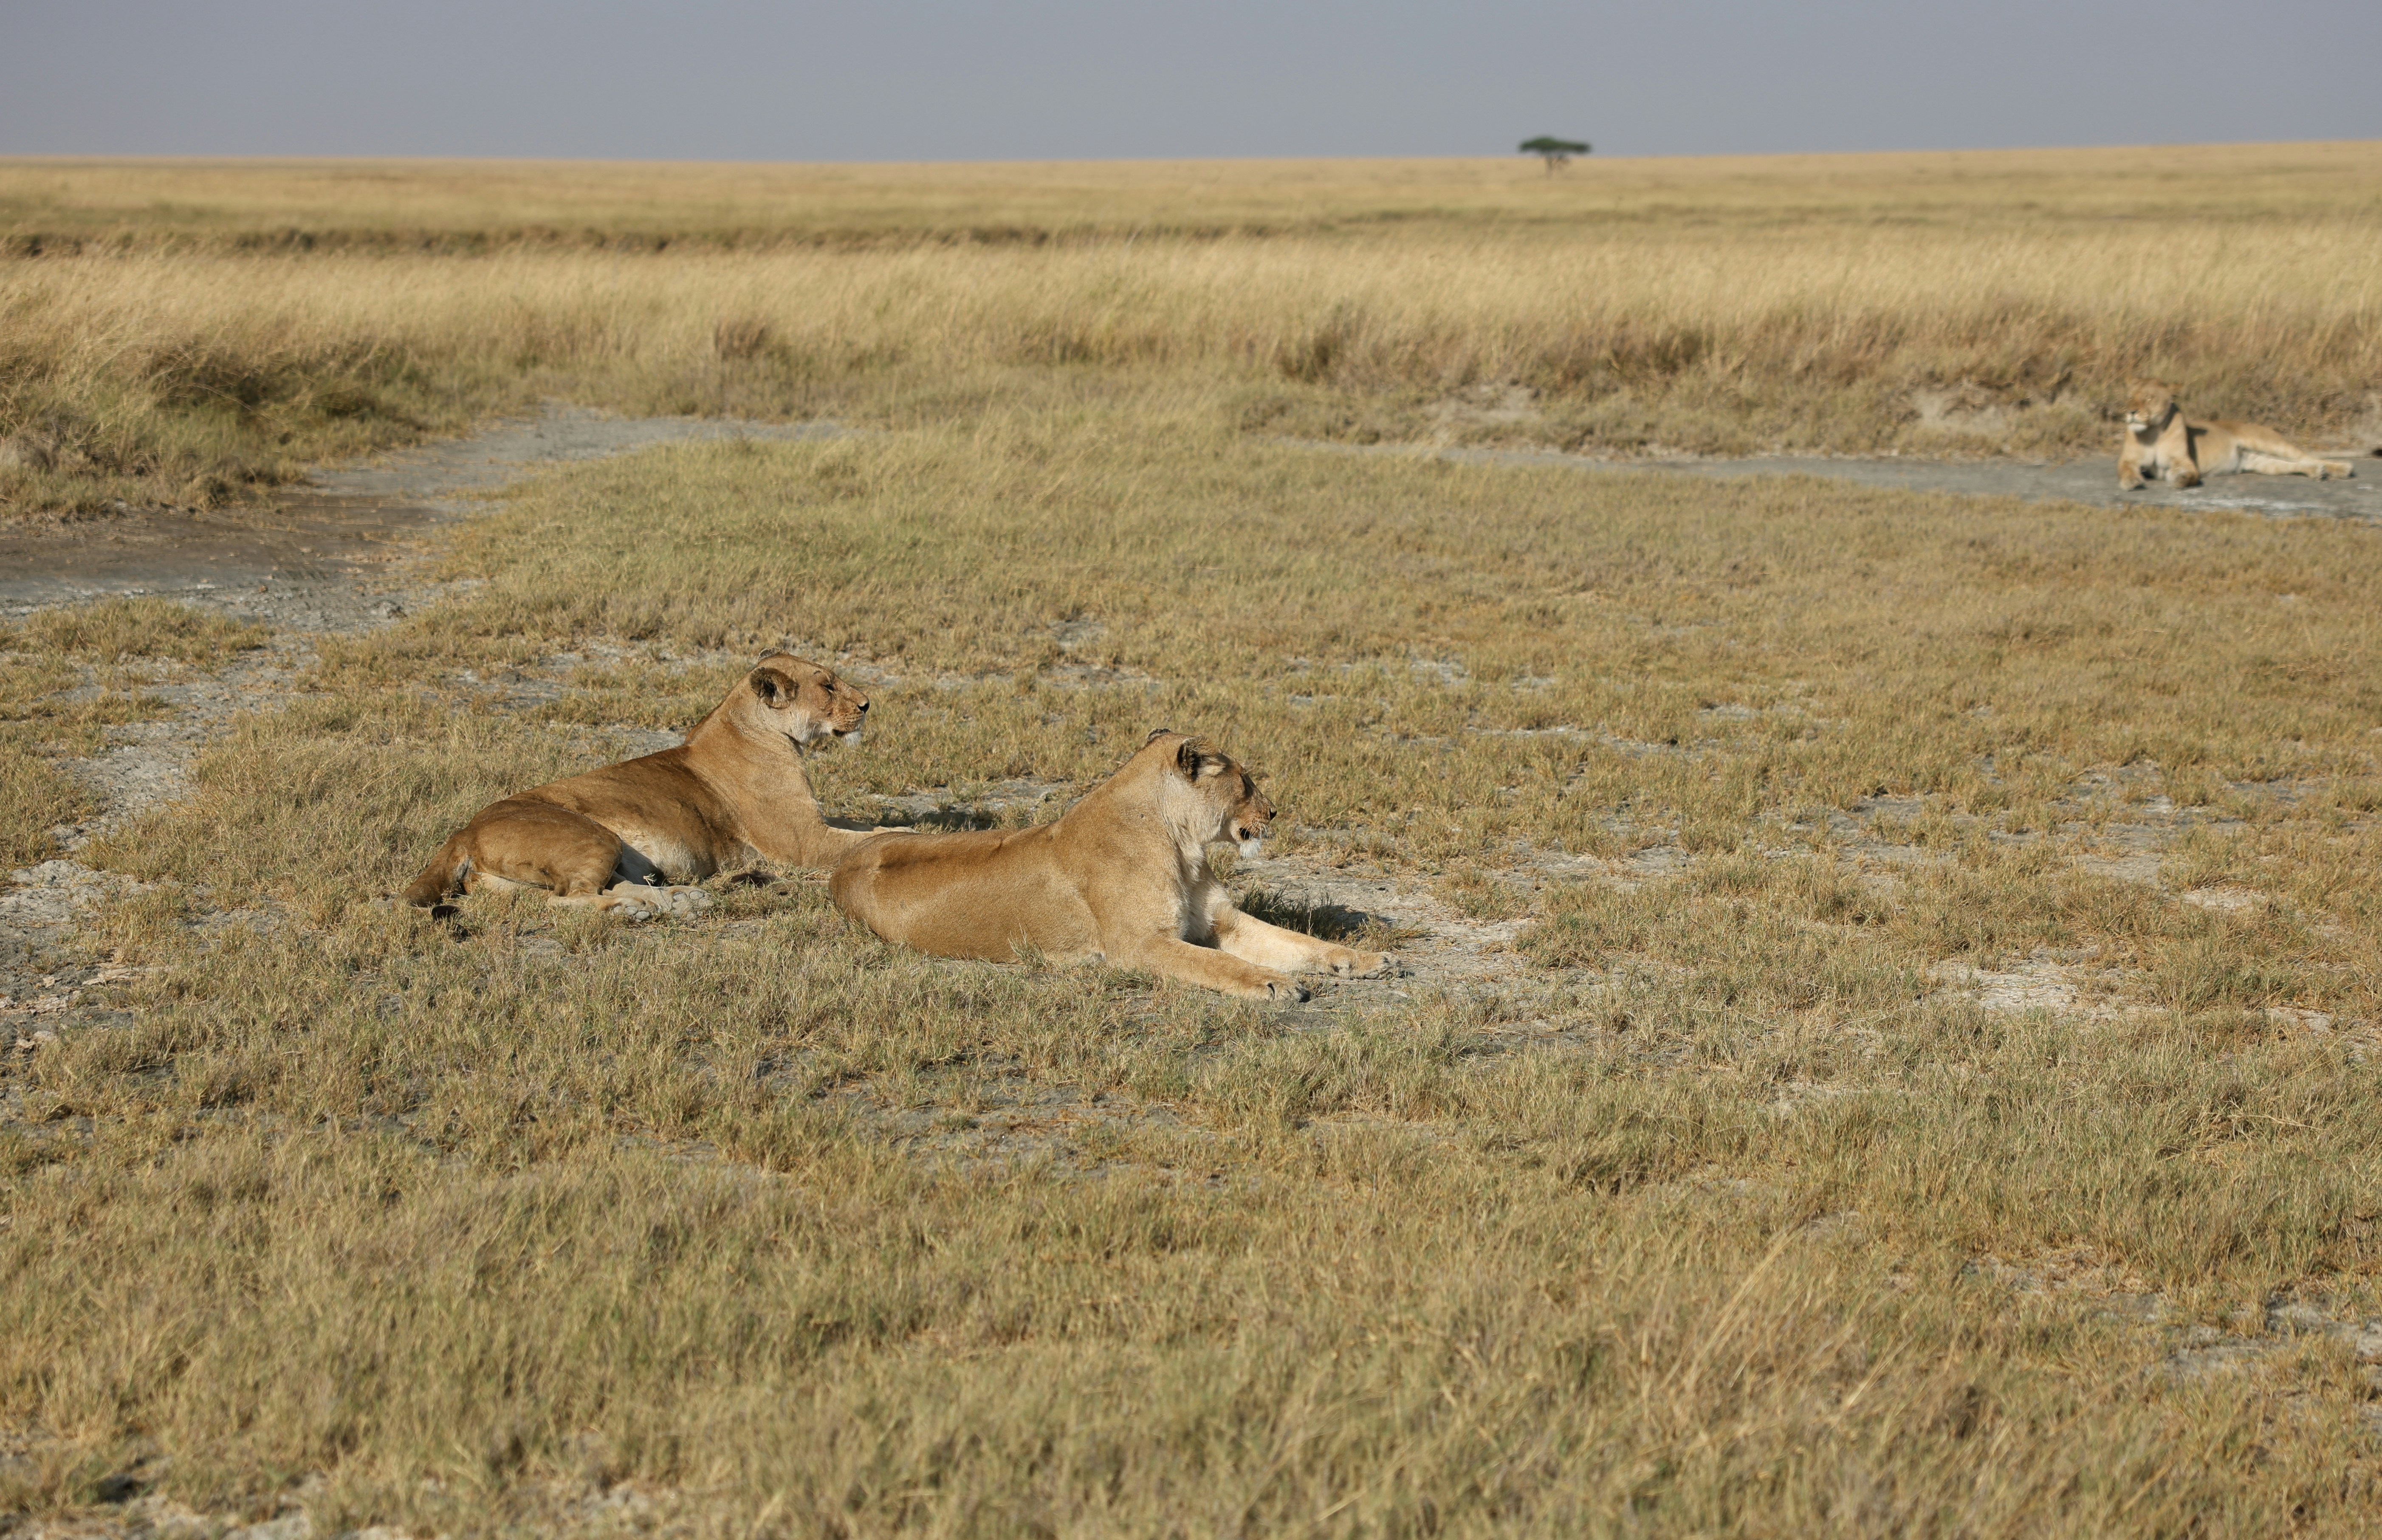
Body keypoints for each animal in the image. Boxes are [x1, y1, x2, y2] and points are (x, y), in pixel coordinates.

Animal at [402, 652, 888, 918]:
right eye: (828, 686)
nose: (867, 705)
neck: (761, 727)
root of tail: (463, 831)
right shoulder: (803, 842)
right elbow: (876, 837)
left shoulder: (815, 824)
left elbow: (866, 828)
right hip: (592, 835)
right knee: (567, 899)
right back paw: (638, 911)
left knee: (605, 887)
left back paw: (681, 898)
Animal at [829, 729, 1395, 1000]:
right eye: (1246, 782)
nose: (1273, 812)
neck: (1183, 847)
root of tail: (841, 865)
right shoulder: (1140, 944)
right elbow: (1218, 964)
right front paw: (1274, 983)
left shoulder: (1224, 922)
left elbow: (1302, 942)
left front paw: (1371, 960)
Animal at [2119, 381, 2355, 490]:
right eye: (2130, 397)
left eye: (2149, 398)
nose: (2131, 412)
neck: (2153, 431)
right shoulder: (2136, 462)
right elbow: (2127, 469)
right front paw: (2132, 482)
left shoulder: (2182, 462)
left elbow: (2186, 474)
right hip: (2262, 463)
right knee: (2294, 464)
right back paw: (2318, 472)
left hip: (2268, 442)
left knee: (2306, 456)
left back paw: (2342, 469)